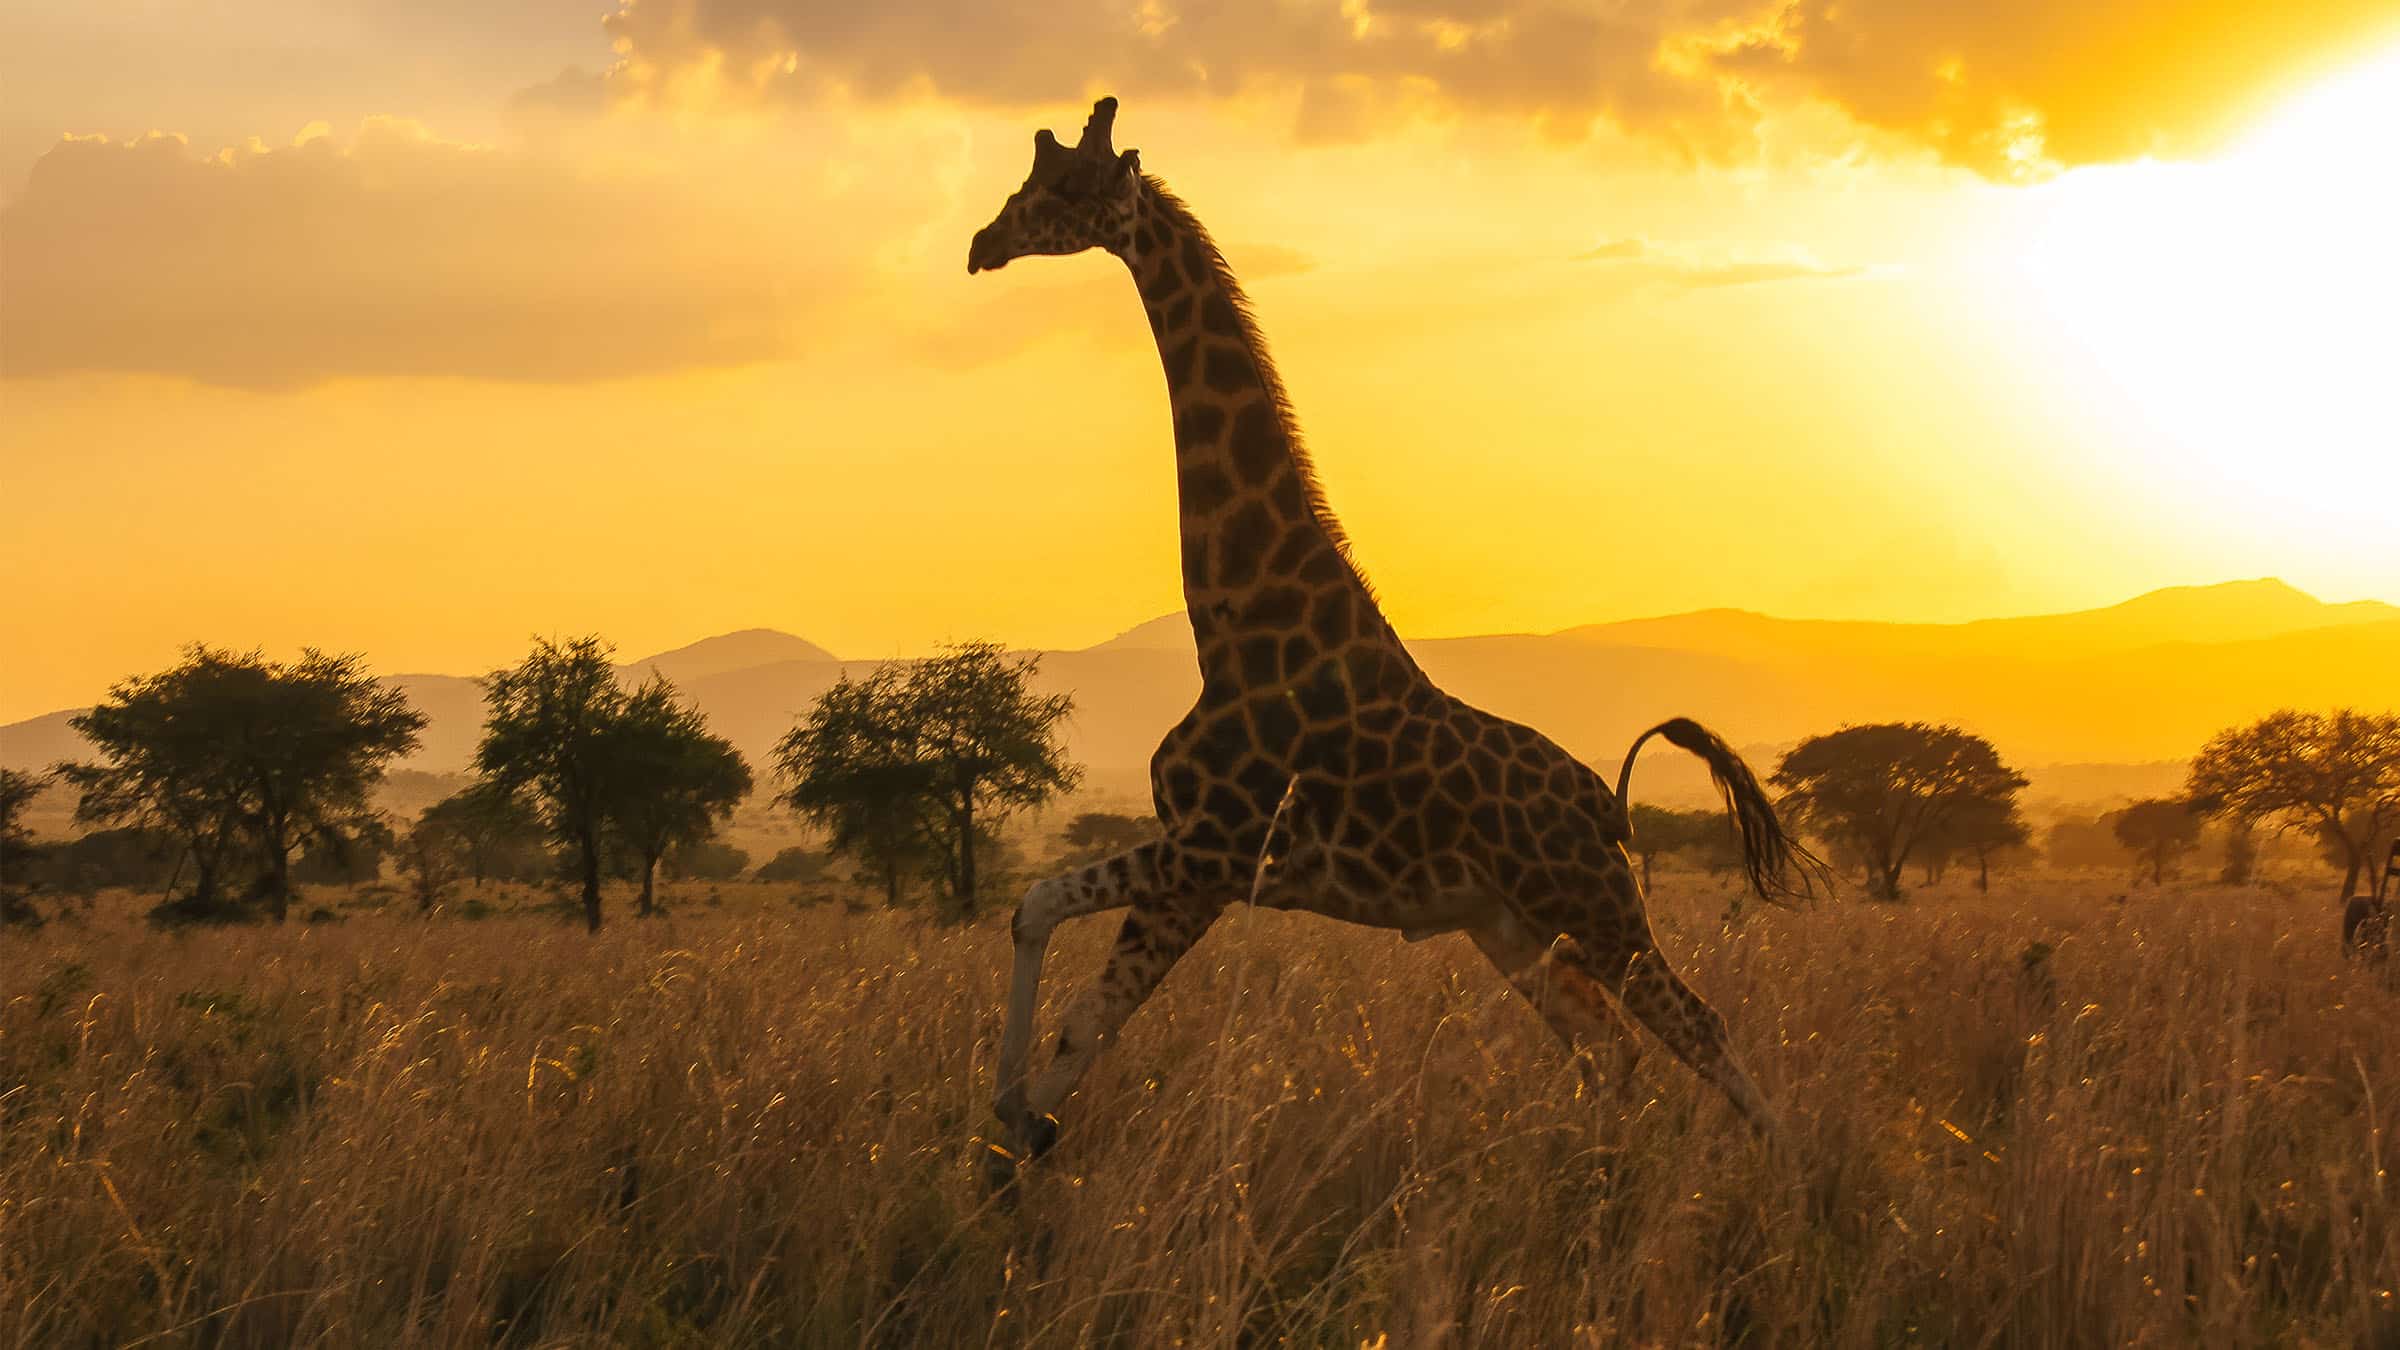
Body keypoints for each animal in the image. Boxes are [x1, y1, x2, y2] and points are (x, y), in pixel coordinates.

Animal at [968, 97, 1818, 1171]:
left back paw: (1795, 1182)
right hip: (1509, 924)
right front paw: (1013, 1118)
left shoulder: (1213, 853)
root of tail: (1610, 809)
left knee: (1697, 1028)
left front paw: (1018, 1143)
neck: (1236, 621)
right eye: (1026, 180)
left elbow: (1084, 1019)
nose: (982, 244)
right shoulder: (1195, 852)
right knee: (1606, 1047)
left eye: (1065, 189)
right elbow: (1035, 914)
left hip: (1591, 905)